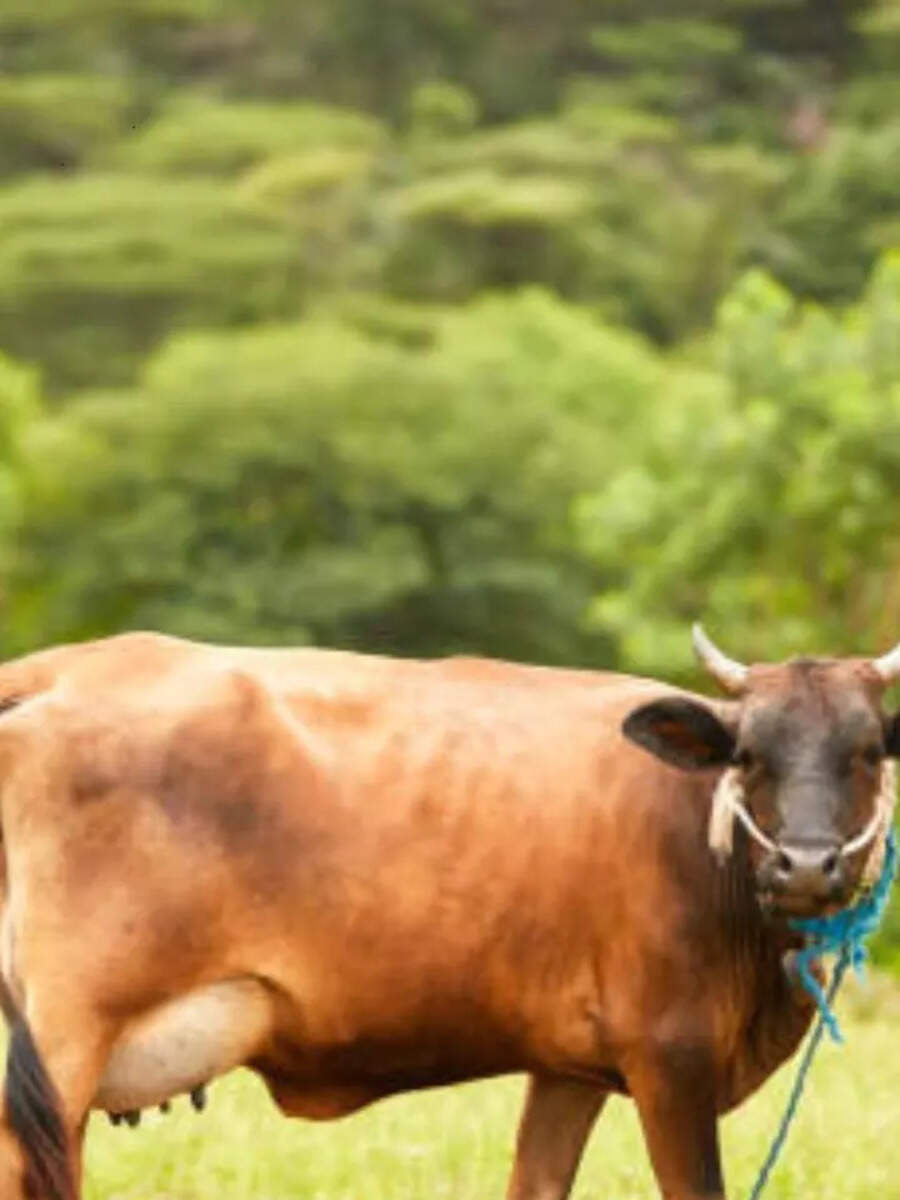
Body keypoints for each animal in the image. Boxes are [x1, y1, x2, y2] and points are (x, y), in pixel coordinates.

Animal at [0, 625, 896, 1200]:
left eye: (866, 753)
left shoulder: (570, 1068)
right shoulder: (671, 1056)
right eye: (749, 756)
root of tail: (52, 671)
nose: (805, 865)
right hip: (62, 1041)